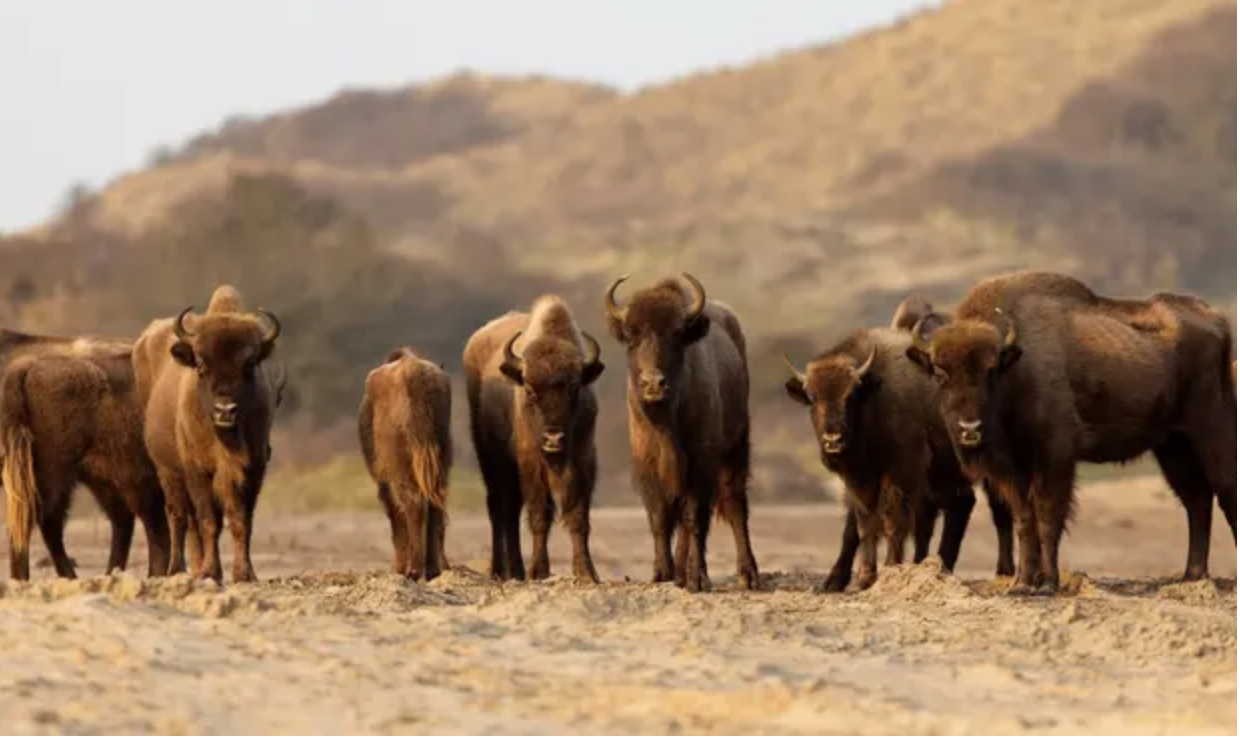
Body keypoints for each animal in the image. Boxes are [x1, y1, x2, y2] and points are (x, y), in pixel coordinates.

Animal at [133, 285, 283, 583]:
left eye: (250, 364)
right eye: (201, 365)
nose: (225, 410)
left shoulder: (253, 470)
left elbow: (240, 521)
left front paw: (244, 573)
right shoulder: (197, 471)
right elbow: (209, 521)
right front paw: (210, 572)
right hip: (168, 473)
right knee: (179, 517)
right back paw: (177, 569)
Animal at [359, 347, 452, 581]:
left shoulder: (384, 481)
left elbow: (396, 519)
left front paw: (398, 569)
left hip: (401, 470)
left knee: (412, 504)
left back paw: (413, 570)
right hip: (440, 465)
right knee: (435, 506)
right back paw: (432, 570)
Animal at [464, 295, 605, 582]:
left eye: (575, 387)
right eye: (529, 390)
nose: (553, 439)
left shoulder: (584, 460)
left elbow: (578, 517)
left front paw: (586, 573)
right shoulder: (531, 465)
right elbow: (540, 515)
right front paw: (539, 572)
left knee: (510, 512)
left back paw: (516, 571)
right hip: (490, 458)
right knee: (498, 509)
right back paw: (501, 571)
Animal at [604, 273, 758, 592]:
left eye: (676, 334)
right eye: (631, 337)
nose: (653, 384)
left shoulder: (700, 464)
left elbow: (694, 518)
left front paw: (697, 578)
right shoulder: (649, 466)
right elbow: (660, 518)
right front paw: (662, 573)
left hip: (736, 448)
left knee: (735, 505)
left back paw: (747, 574)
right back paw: (679, 571)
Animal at [905, 271, 1236, 593]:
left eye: (991, 371)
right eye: (939, 373)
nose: (969, 428)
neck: (1017, 366)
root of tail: (1217, 319)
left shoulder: (1055, 458)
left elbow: (1048, 517)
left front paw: (1048, 584)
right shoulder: (1012, 469)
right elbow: (1024, 520)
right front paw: (1022, 584)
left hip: (1211, 433)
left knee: (1225, 491)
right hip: (1173, 445)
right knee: (1196, 500)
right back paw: (1191, 576)